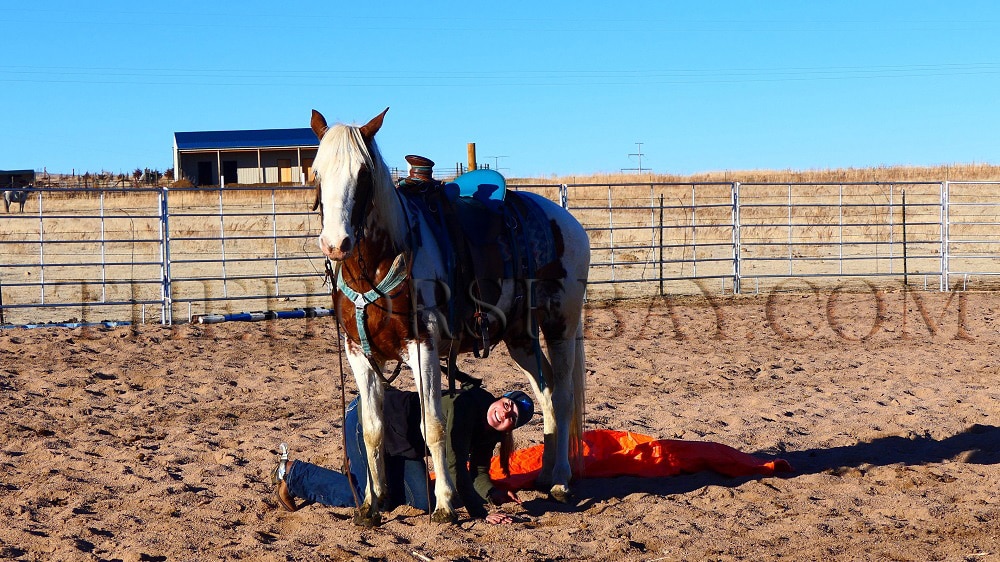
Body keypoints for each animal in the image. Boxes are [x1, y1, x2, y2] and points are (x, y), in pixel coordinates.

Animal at [309, 108, 590, 525]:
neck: (380, 264)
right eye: (316, 170)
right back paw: (543, 475)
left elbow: (433, 425)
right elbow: (372, 428)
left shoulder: (423, 349)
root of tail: (565, 220)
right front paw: (372, 504)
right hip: (520, 337)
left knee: (566, 395)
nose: (336, 243)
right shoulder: (359, 353)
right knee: (547, 392)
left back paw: (559, 481)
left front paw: (444, 503)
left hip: (561, 325)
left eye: (363, 173)